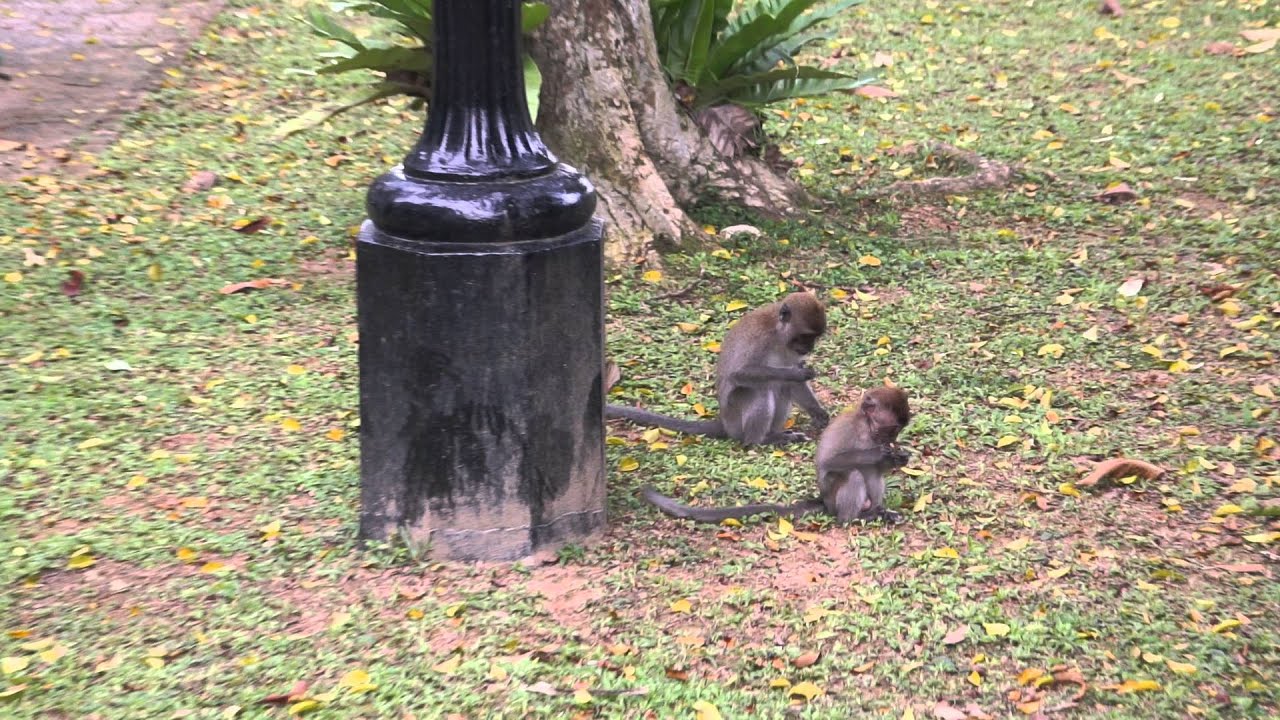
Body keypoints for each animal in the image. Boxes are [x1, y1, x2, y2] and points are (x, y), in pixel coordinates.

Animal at [607, 292, 829, 446]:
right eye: (805, 336)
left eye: (814, 338)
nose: (810, 348)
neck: (779, 335)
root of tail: (724, 422)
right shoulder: (759, 337)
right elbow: (739, 373)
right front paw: (796, 372)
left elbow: (794, 384)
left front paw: (817, 412)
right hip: (735, 418)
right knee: (760, 390)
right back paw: (760, 440)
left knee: (781, 389)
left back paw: (774, 434)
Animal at [641, 386, 913, 525]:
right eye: (890, 429)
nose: (889, 441)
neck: (867, 428)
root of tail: (825, 502)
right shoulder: (852, 429)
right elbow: (830, 462)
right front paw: (879, 453)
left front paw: (897, 458)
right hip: (834, 500)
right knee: (854, 474)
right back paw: (852, 519)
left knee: (872, 474)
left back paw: (878, 511)